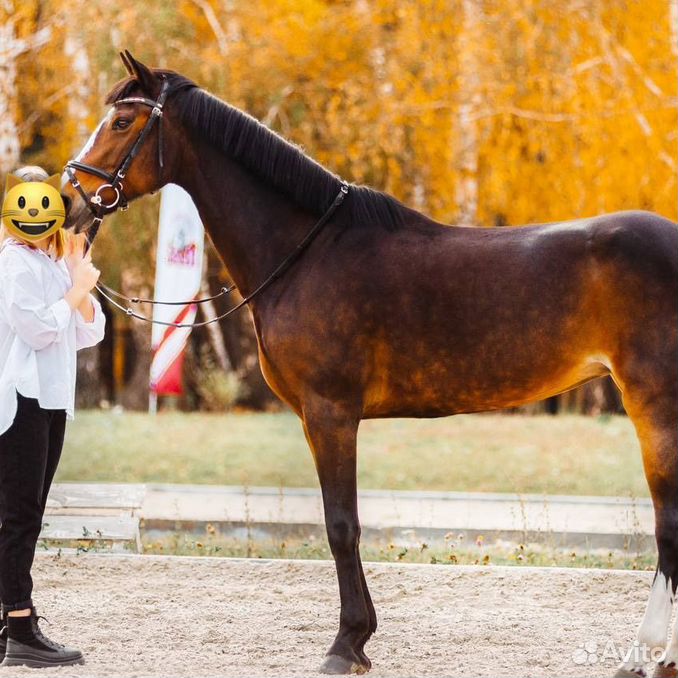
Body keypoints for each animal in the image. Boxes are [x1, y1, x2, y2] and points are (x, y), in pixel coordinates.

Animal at [61, 51, 678, 678]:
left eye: (122, 123)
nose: (70, 199)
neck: (308, 251)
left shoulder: (330, 412)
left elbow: (341, 525)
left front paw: (346, 643)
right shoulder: (320, 418)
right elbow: (344, 525)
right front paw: (359, 639)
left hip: (655, 408)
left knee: (668, 527)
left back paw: (645, 654)